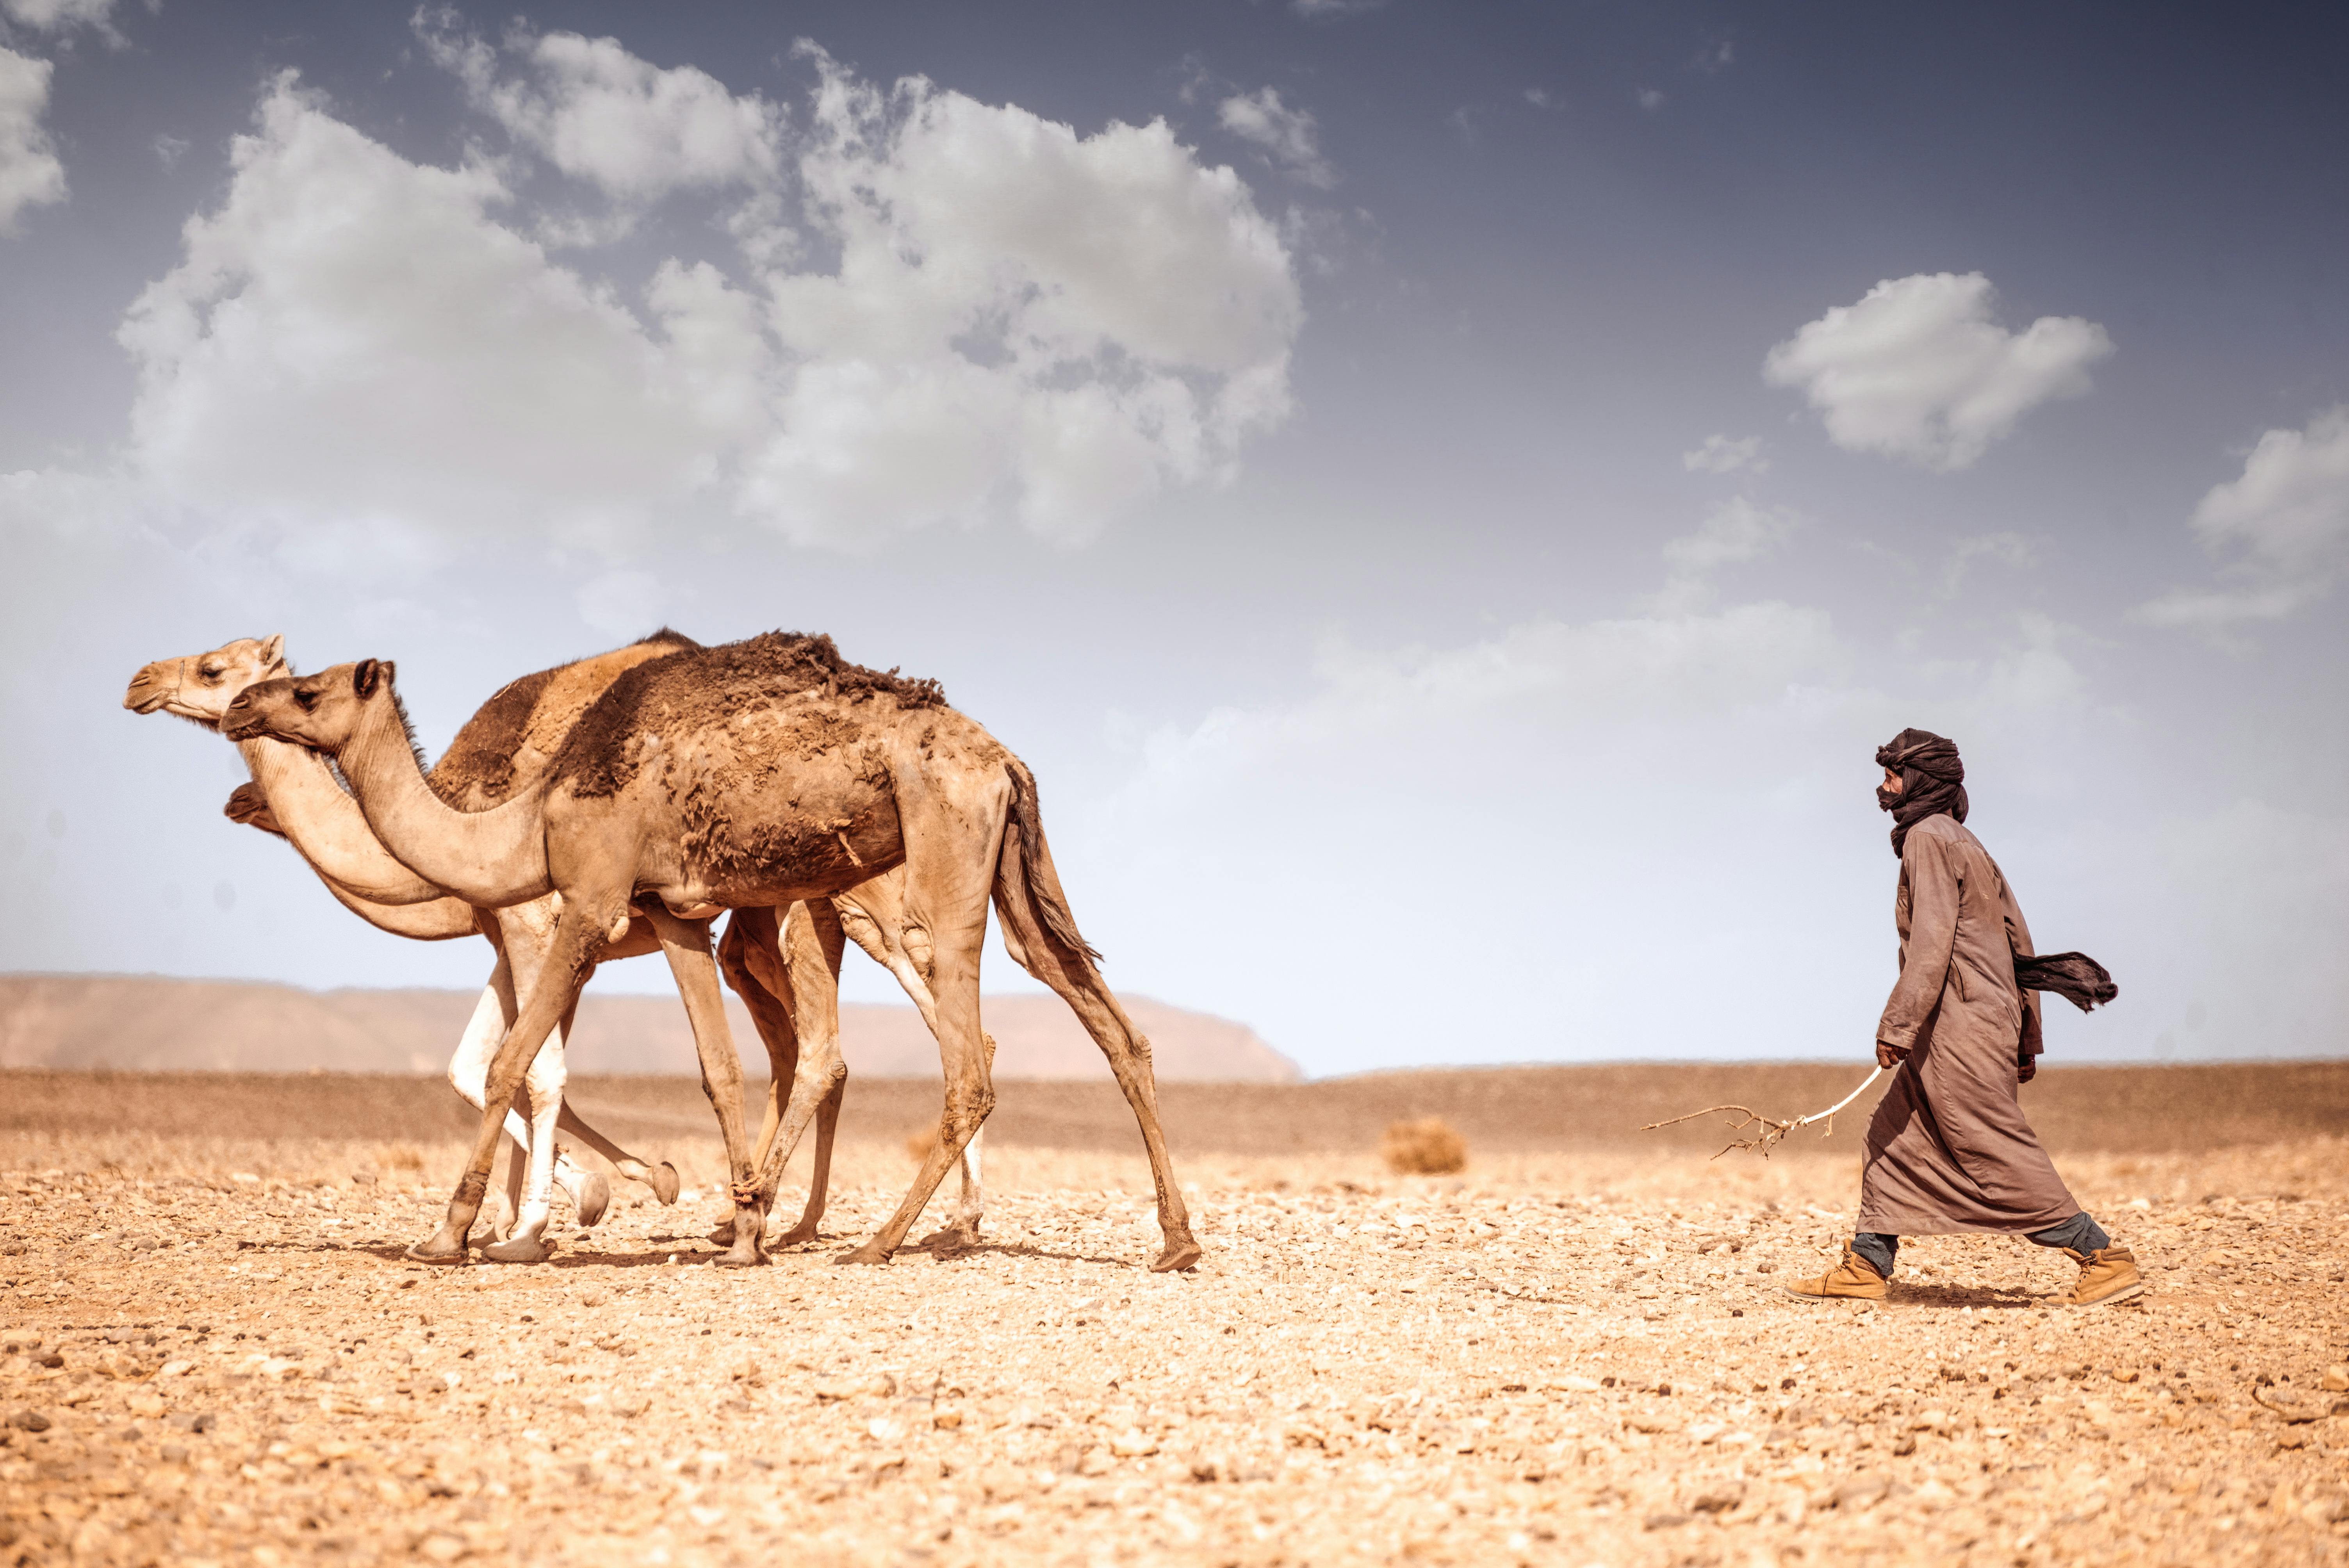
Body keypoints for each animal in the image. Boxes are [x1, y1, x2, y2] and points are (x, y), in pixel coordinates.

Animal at [221, 631, 1199, 1272]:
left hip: (933, 874)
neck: (521, 816)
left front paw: (454, 1235)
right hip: (1012, 875)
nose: (237, 709)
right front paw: (742, 1230)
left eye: (306, 691)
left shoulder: (585, 906)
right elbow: (717, 1071)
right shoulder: (676, 914)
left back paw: (882, 1240)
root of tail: (1003, 758)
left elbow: (508, 1065)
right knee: (1106, 1022)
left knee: (965, 1062)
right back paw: (1175, 1242)